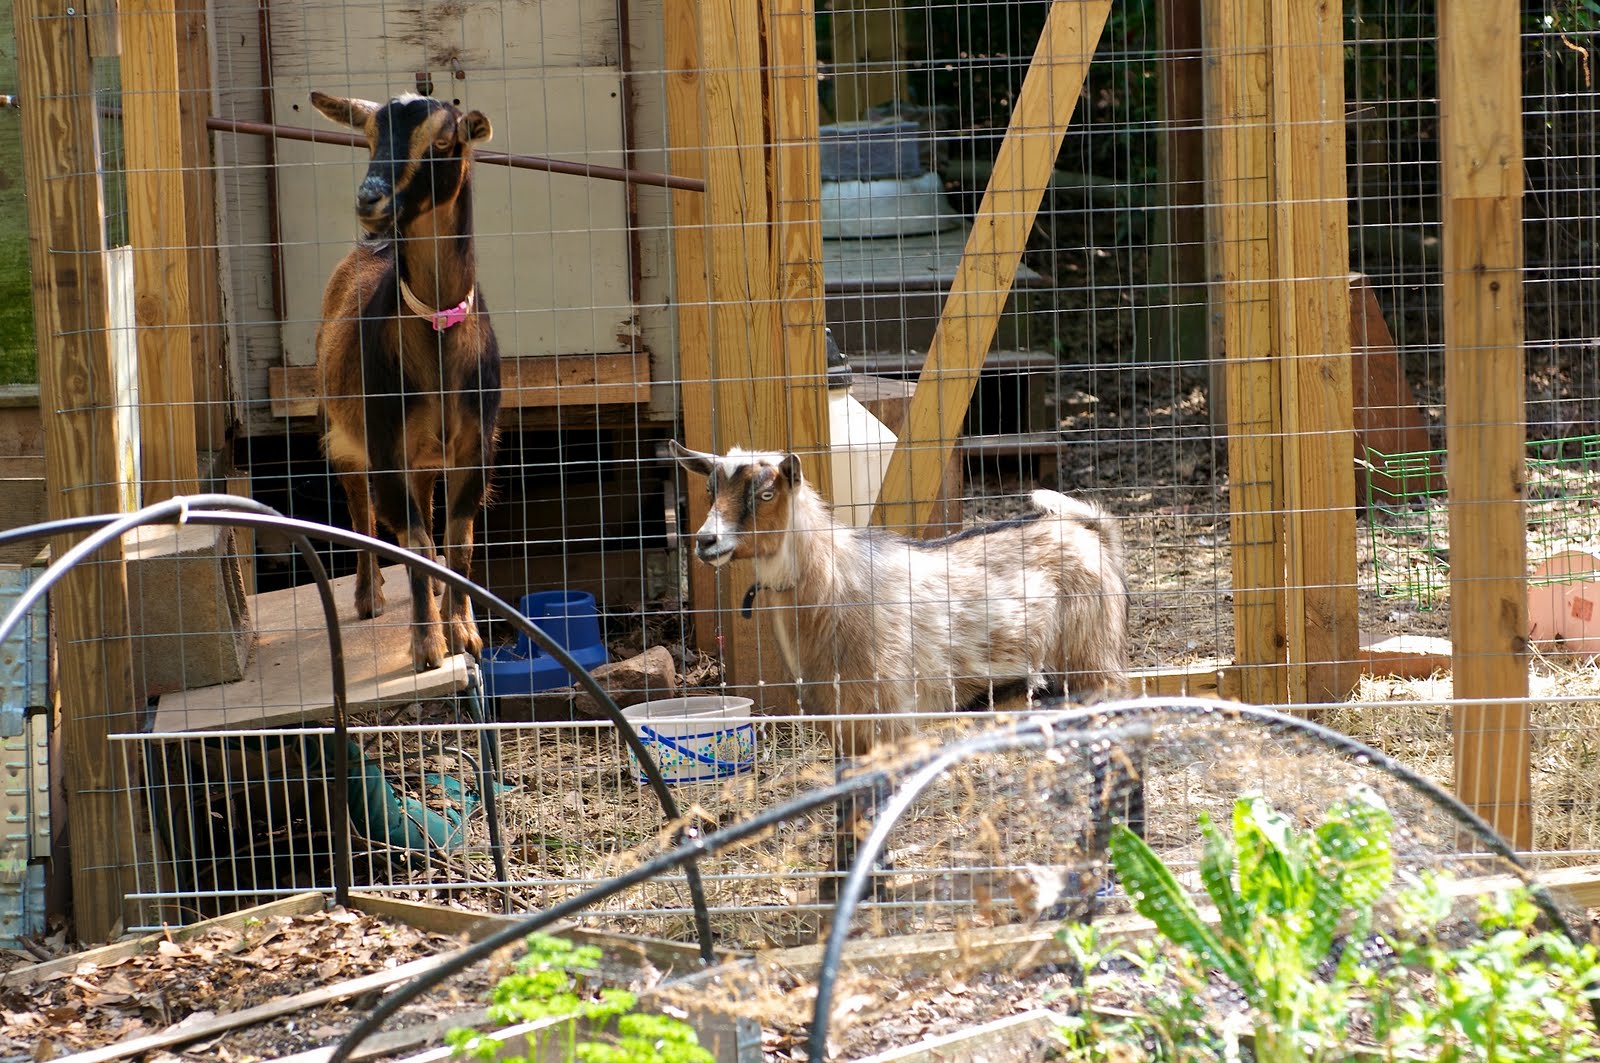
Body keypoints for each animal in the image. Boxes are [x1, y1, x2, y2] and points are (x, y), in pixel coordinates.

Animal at [310, 91, 501, 670]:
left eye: (443, 140)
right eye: (369, 137)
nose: (370, 199)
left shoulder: (474, 446)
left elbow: (460, 541)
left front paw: (464, 632)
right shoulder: (386, 443)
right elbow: (411, 543)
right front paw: (428, 646)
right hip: (343, 428)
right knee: (360, 508)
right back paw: (368, 594)